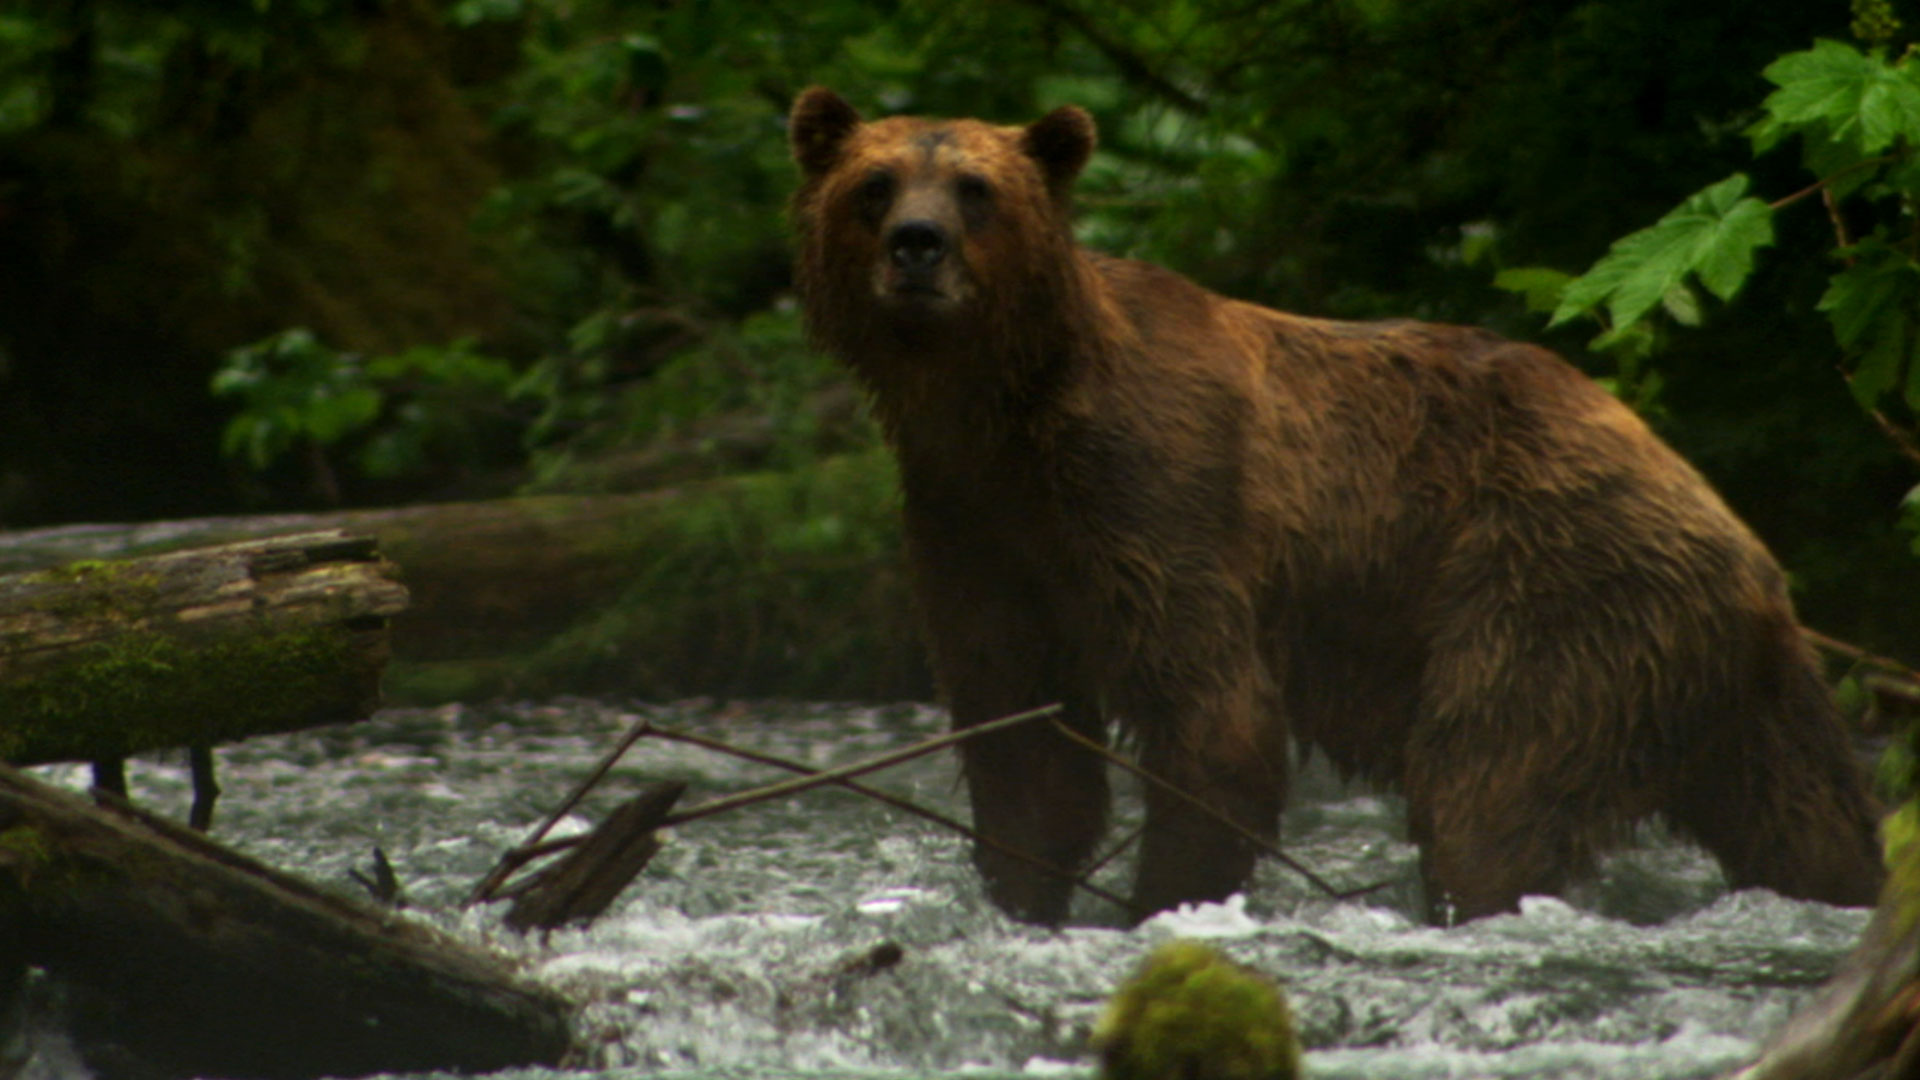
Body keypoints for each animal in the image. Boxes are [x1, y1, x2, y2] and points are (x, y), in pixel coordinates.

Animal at [787, 86, 1885, 926]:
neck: (1004, 409)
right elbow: (1021, 739)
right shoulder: (973, 527)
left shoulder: (1152, 493)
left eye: (976, 190)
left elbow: (1212, 715)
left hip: (1551, 586)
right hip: (1732, 692)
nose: (917, 245)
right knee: (1808, 824)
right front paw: (1022, 896)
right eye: (874, 185)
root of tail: (1749, 551)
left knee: (1486, 782)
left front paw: (1161, 905)